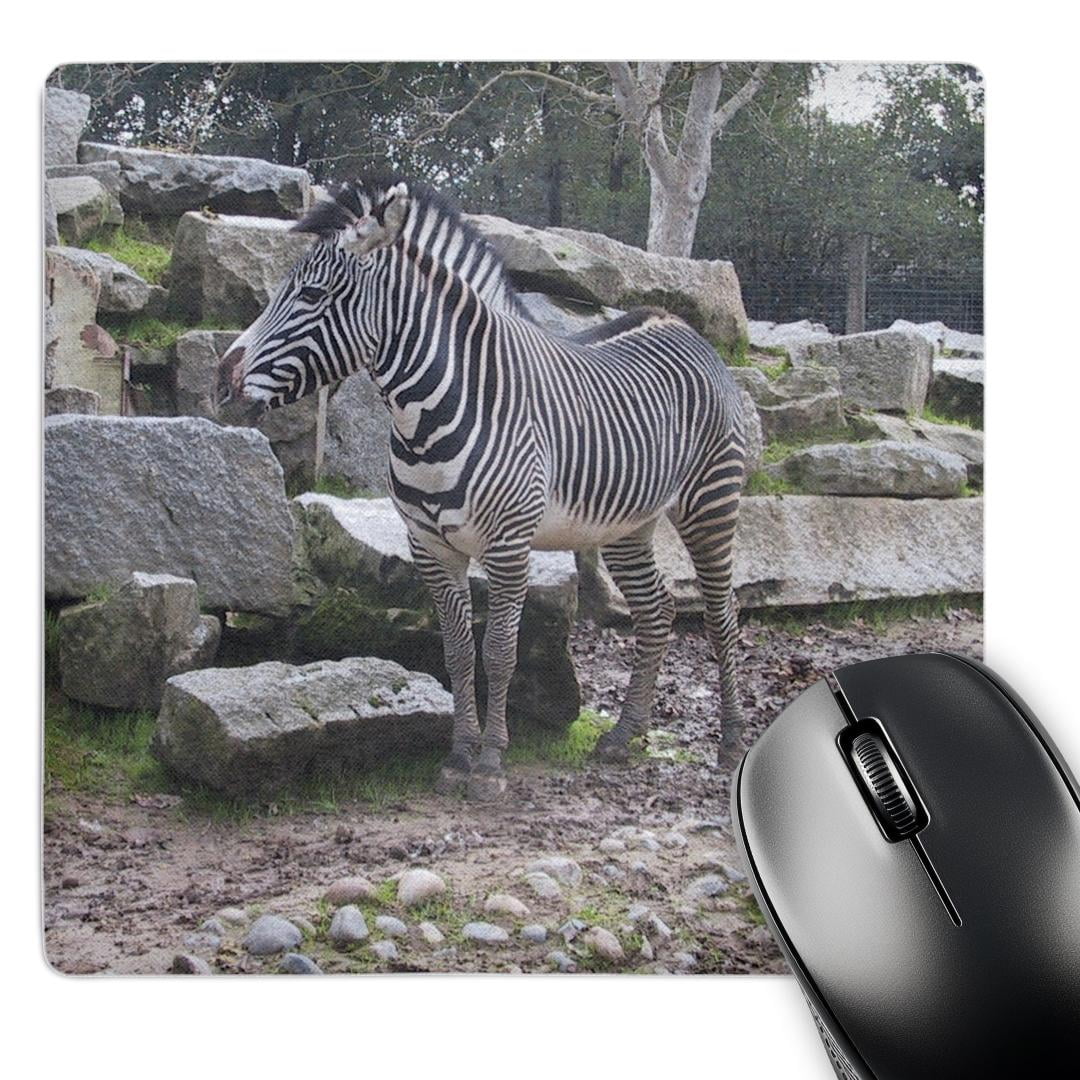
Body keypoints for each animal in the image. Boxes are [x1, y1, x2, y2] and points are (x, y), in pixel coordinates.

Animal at [218, 179, 747, 801]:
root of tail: (677, 321)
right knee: (656, 611)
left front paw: (492, 762)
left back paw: (731, 743)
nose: (221, 382)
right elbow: (457, 652)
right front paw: (458, 756)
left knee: (721, 614)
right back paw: (624, 736)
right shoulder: (429, 546)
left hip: (711, 502)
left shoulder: (509, 544)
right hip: (627, 523)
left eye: (312, 294)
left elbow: (499, 651)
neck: (427, 414)